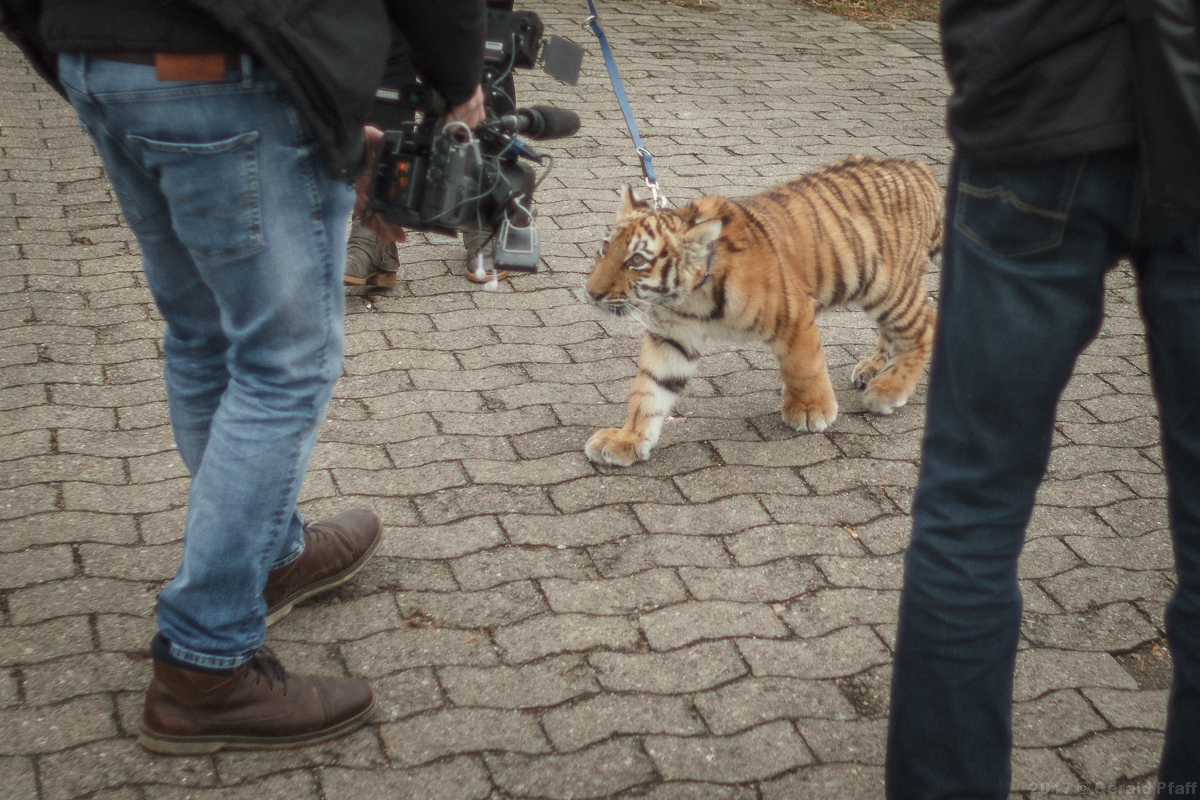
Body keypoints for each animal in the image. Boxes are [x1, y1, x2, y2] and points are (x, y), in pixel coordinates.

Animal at [583, 154, 942, 467]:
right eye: (605, 248)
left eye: (636, 261)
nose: (591, 292)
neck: (689, 296)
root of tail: (920, 168)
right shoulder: (671, 338)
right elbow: (649, 390)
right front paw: (627, 440)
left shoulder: (794, 314)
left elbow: (803, 366)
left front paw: (810, 409)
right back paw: (874, 368)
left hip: (885, 286)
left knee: (927, 324)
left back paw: (888, 389)